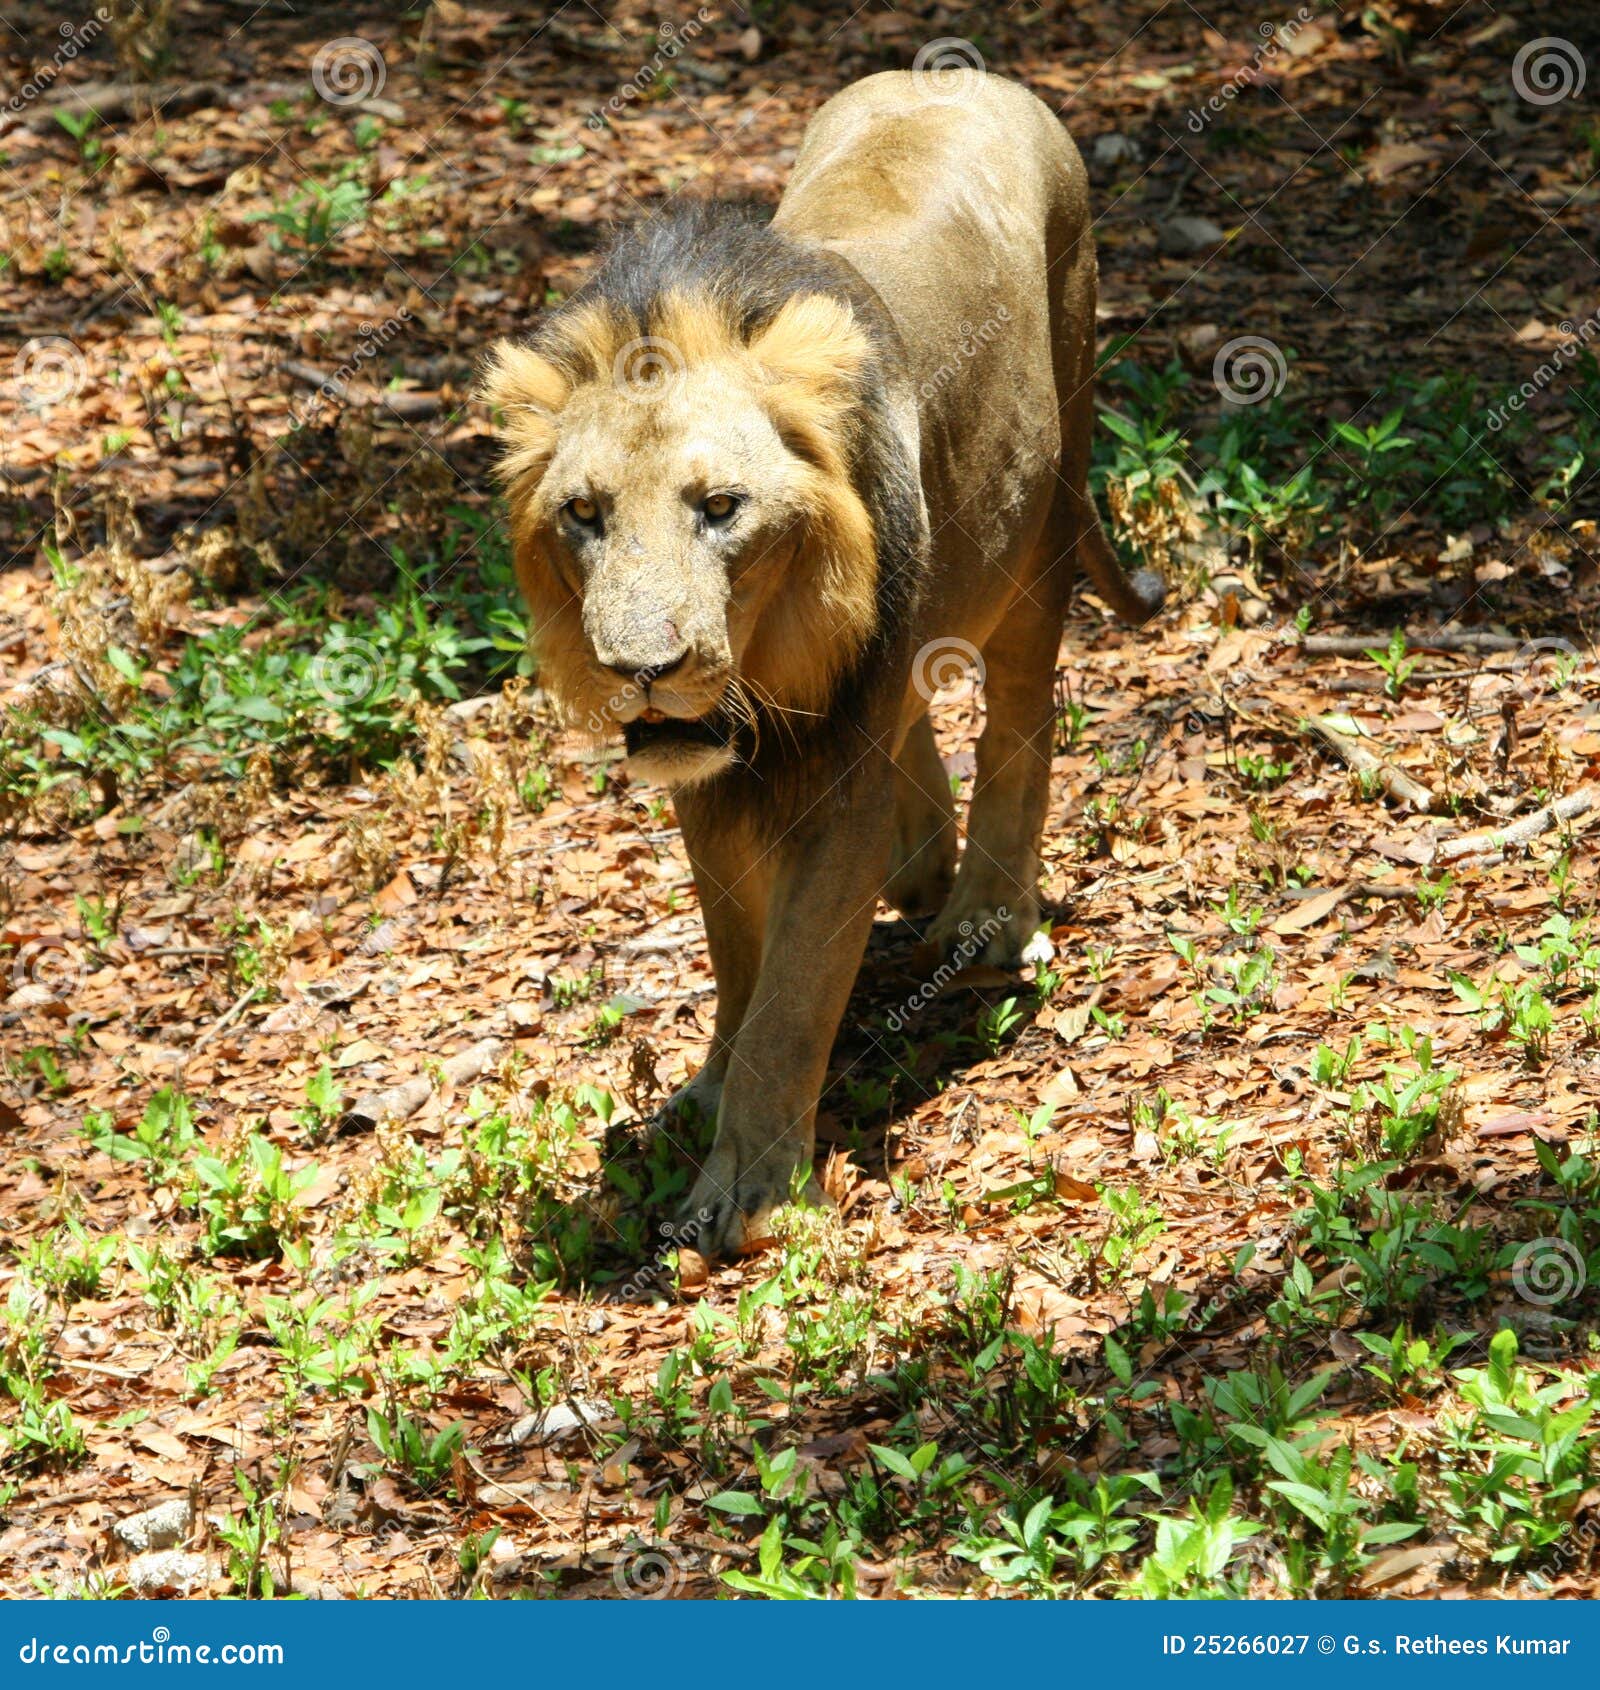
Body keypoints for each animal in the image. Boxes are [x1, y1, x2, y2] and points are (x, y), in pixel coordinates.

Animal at [484, 70, 1162, 1256]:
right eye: (583, 513)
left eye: (720, 508)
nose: (641, 666)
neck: (767, 672)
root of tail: (960, 71)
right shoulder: (708, 783)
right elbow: (736, 956)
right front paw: (706, 1091)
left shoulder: (835, 784)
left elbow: (794, 993)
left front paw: (746, 1193)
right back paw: (923, 864)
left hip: (1043, 512)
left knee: (1019, 717)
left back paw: (988, 916)